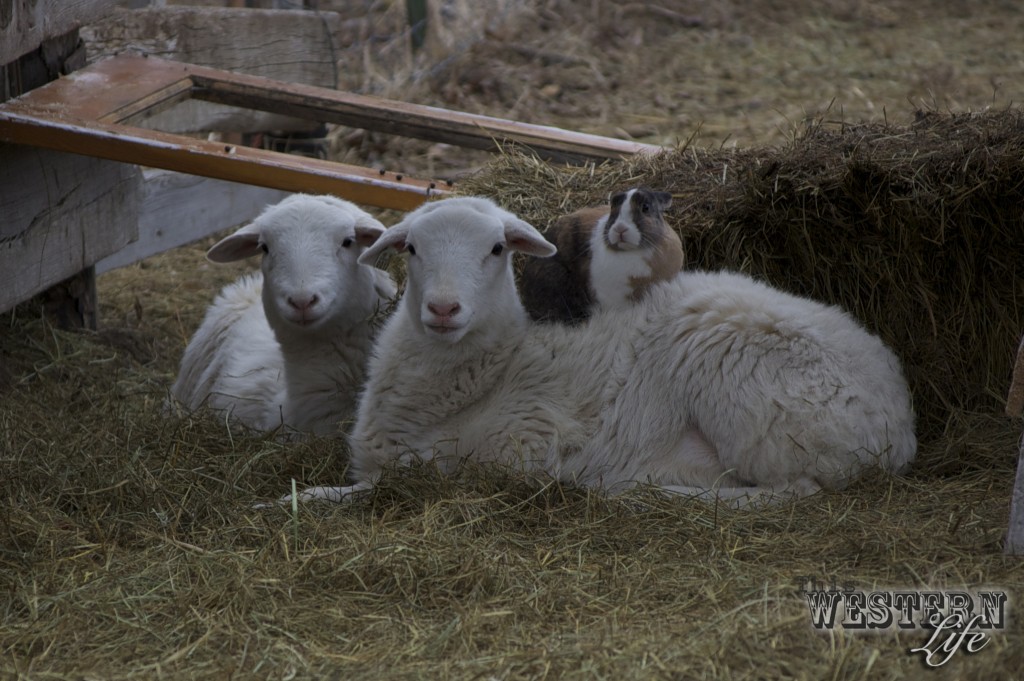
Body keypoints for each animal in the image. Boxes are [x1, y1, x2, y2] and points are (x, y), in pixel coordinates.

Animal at [284, 196, 916, 505]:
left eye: (496, 249)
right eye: (411, 248)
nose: (442, 310)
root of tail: (902, 420)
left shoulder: (522, 445)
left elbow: (364, 487)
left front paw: (298, 499)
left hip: (756, 410)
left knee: (793, 491)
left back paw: (639, 490)